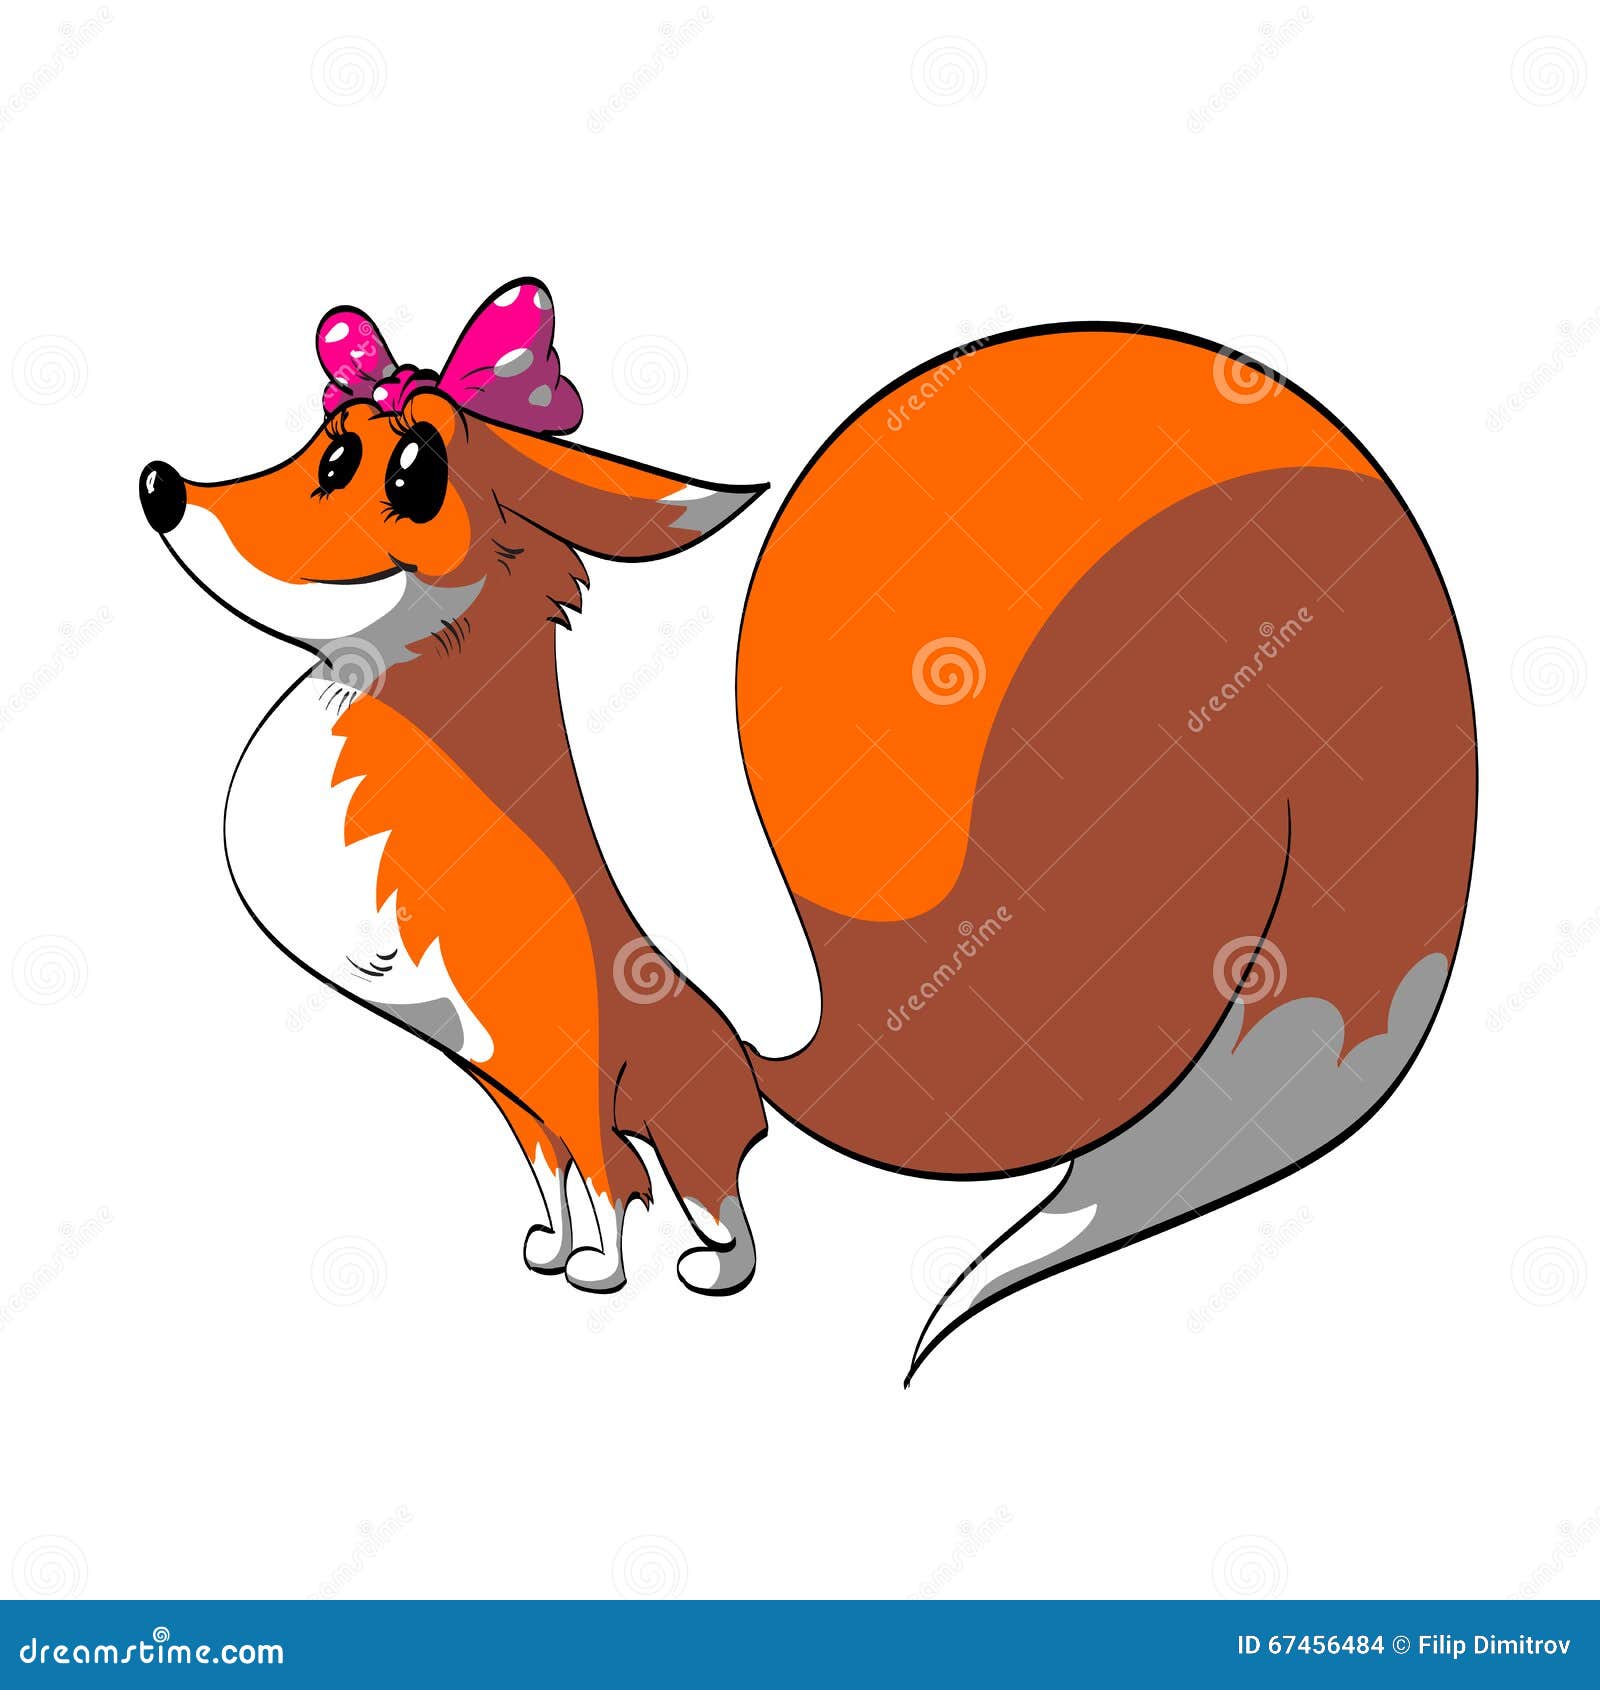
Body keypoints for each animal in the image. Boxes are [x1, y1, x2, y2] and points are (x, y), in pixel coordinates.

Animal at [141, 278, 1475, 1380]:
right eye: (319, 435)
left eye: (402, 474)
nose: (162, 489)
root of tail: (751, 1054)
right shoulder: (500, 1076)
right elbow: (558, 1180)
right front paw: (548, 1251)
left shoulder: (554, 1058)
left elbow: (604, 1188)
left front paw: (596, 1277)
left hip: (670, 1121)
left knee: (708, 1196)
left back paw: (708, 1272)